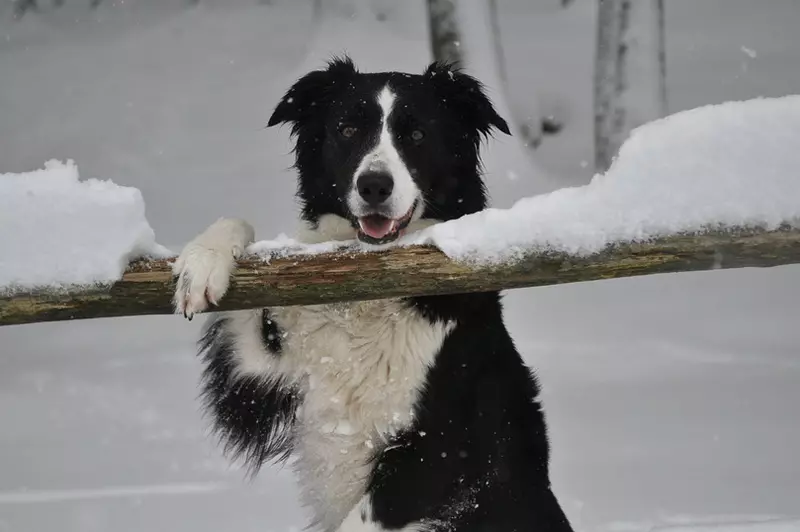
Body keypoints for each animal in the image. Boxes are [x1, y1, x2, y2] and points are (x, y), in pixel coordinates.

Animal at [173, 57, 576, 532]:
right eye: (347, 129)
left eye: (417, 135)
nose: (374, 186)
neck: (372, 286)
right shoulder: (265, 370)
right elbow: (239, 229)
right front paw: (202, 262)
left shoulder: (444, 446)